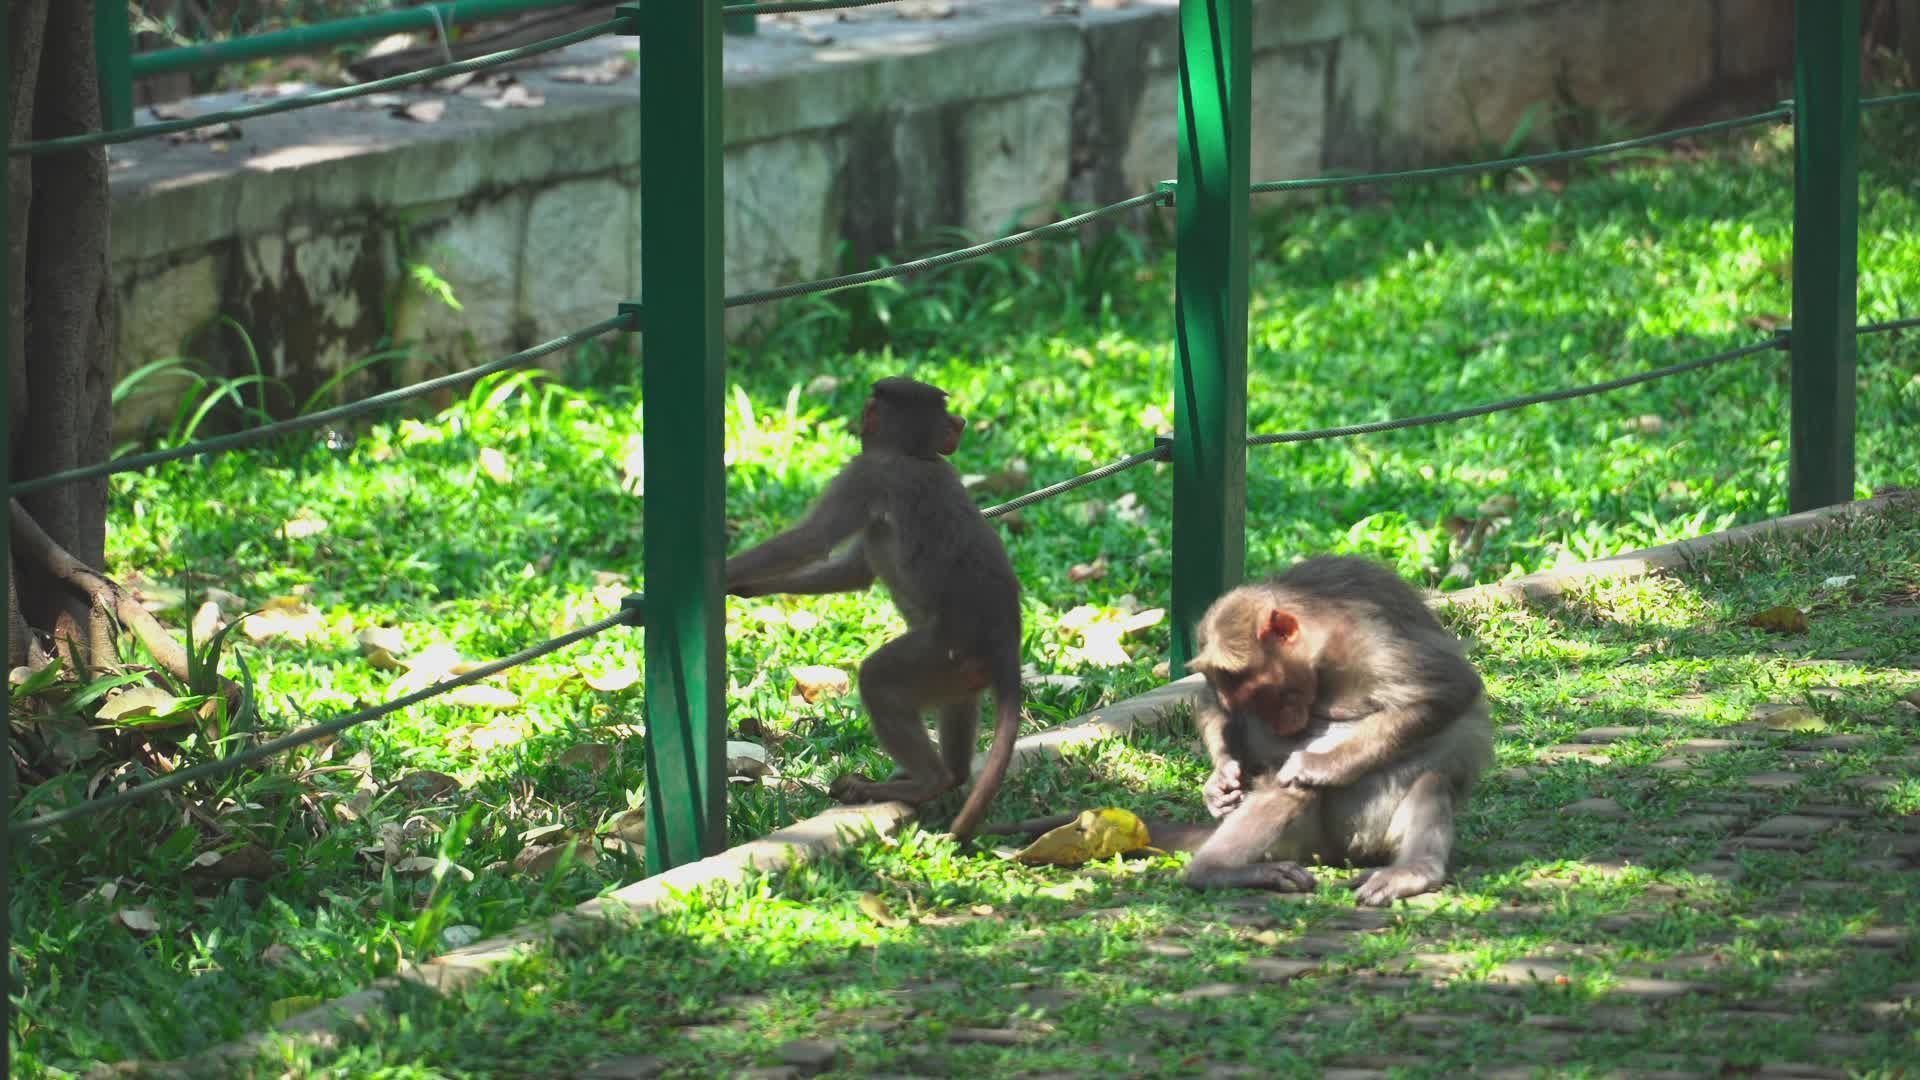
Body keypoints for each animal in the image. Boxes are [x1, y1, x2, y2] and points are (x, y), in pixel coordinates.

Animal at [723, 376, 1024, 841]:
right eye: (945, 411)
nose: (960, 422)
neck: (910, 453)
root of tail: (1005, 637)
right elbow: (853, 572)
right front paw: (745, 586)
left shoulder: (864, 475)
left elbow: (811, 541)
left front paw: (715, 572)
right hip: (962, 668)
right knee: (957, 700)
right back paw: (951, 777)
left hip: (944, 650)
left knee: (878, 679)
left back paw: (926, 781)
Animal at [986, 556, 1491, 906]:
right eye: (1252, 703)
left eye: (1275, 694)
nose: (1284, 723)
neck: (1322, 646)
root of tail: (1339, 850)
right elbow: (1207, 701)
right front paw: (1221, 779)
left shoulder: (1372, 642)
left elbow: (1451, 689)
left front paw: (1322, 765)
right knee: (1284, 794)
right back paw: (1218, 869)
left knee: (1429, 780)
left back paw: (1413, 870)